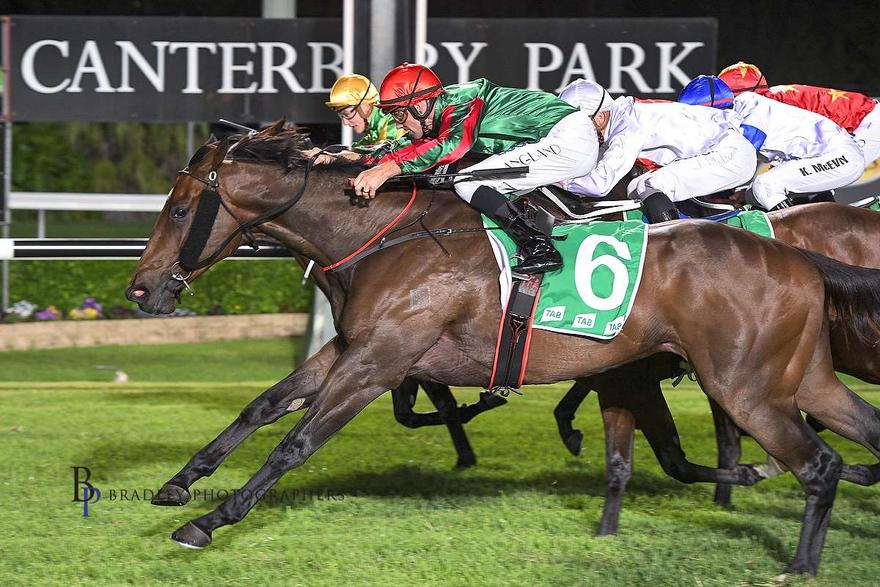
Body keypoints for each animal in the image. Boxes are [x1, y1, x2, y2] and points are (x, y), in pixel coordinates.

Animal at [126, 126, 880, 575]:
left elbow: (297, 442)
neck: (385, 237)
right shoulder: (353, 345)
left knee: (818, 464)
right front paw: (179, 481)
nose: (140, 290)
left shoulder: (380, 360)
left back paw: (799, 564)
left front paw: (209, 520)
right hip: (801, 380)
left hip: (745, 386)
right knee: (859, 434)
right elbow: (262, 406)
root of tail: (798, 257)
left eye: (178, 210)